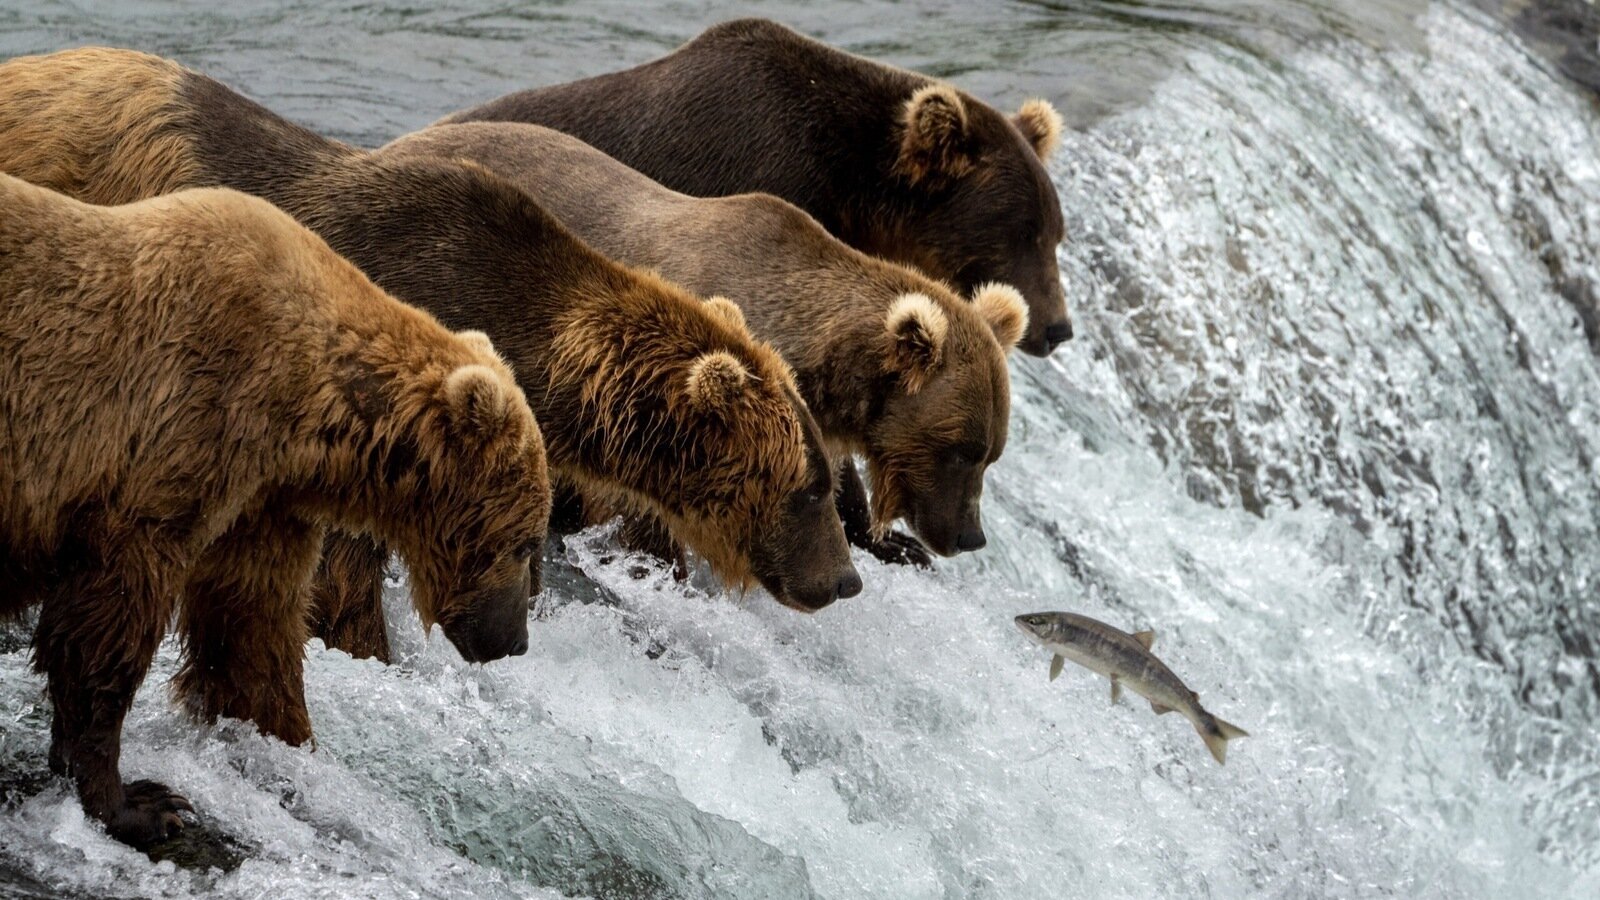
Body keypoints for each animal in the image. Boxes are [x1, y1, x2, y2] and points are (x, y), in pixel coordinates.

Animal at [0, 172, 550, 847]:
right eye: (525, 542)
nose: (515, 641)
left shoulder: (263, 497)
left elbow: (252, 623)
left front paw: (289, 742)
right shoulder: (167, 435)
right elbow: (109, 620)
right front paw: (139, 801)